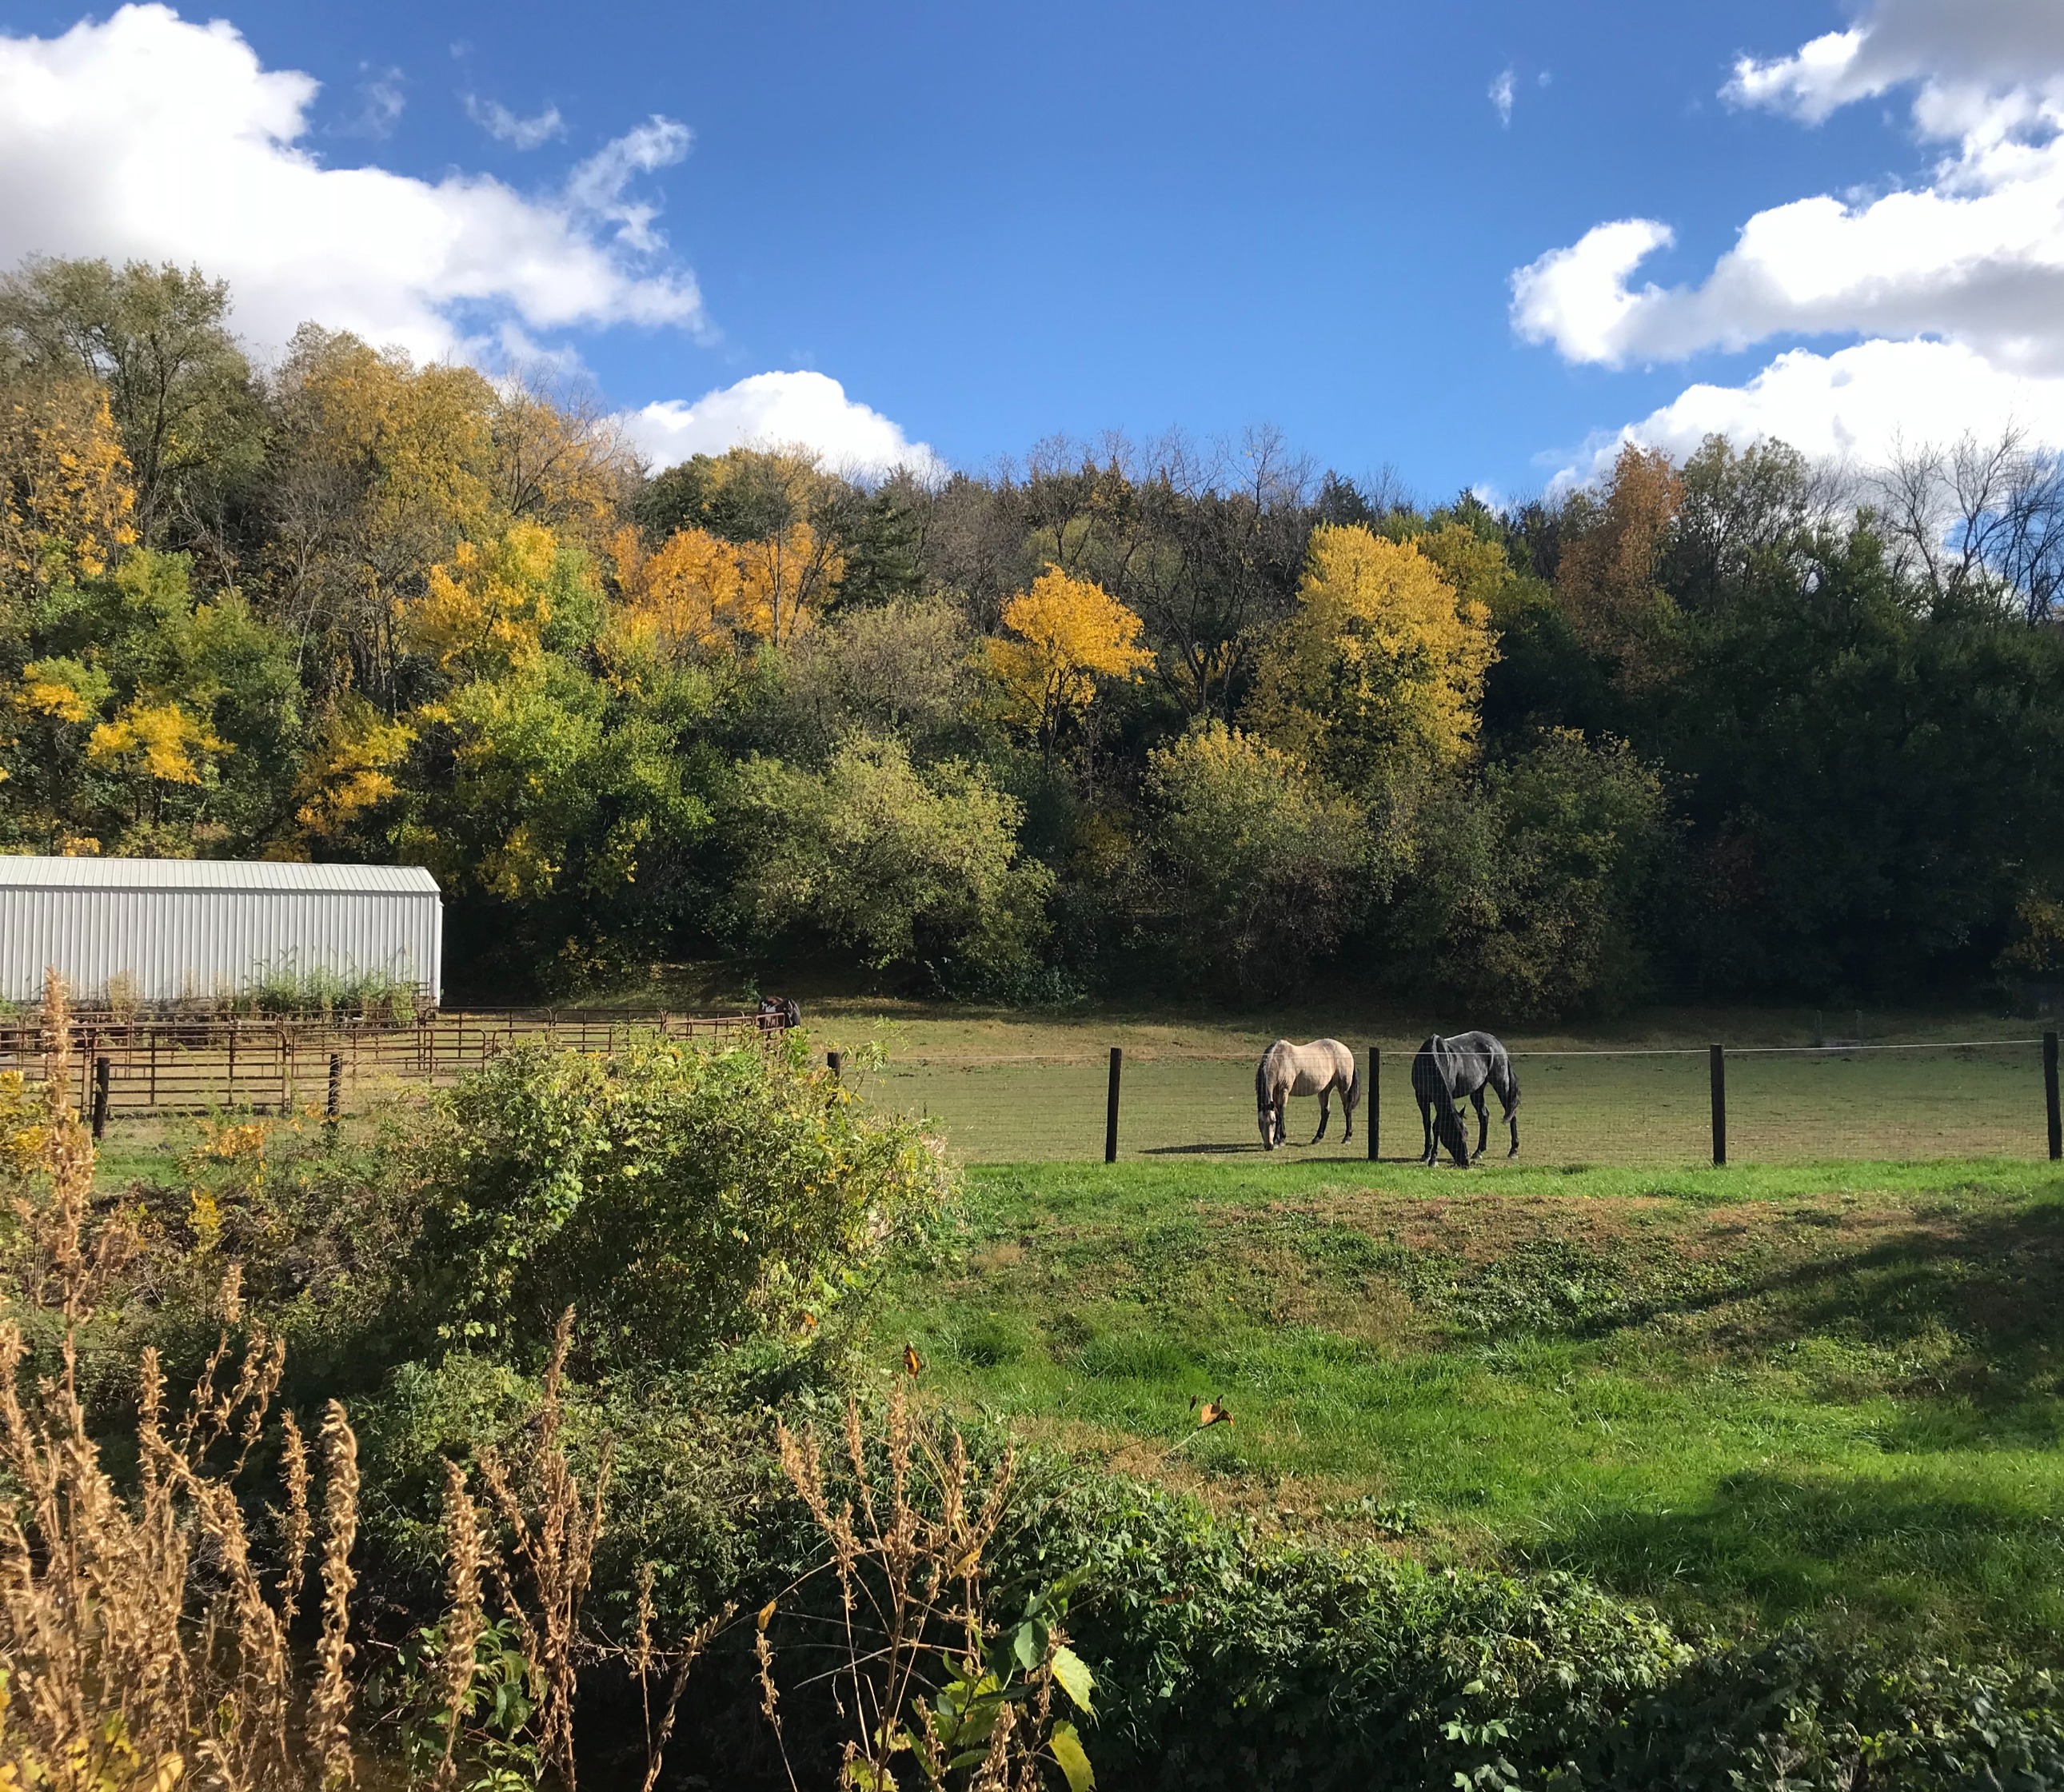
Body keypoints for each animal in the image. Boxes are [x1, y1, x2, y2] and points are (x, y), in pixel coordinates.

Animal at [1255, 1038, 1360, 1151]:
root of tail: (1346, 1049)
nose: (1269, 1146)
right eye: (1260, 1122)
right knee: (1325, 1111)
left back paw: (1347, 1138)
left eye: (1273, 1122)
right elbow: (1278, 1113)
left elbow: (1281, 1114)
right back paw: (1317, 1138)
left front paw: (1279, 1141)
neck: (1279, 1060)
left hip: (1344, 1088)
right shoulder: (1275, 1093)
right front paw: (1279, 1139)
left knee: (1347, 1110)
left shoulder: (1283, 1091)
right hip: (1325, 1089)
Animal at [1412, 1032, 1521, 1166]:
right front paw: (1427, 1155)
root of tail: (1497, 1043)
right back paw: (1478, 1152)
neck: (1430, 1061)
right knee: (1484, 1115)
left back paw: (1513, 1150)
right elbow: (1427, 1124)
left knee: (1511, 1113)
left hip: (1501, 1084)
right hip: (1477, 1090)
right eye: (1452, 1135)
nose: (1465, 1161)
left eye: (1466, 1134)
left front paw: (1434, 1159)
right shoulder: (1421, 1098)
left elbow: (1436, 1126)